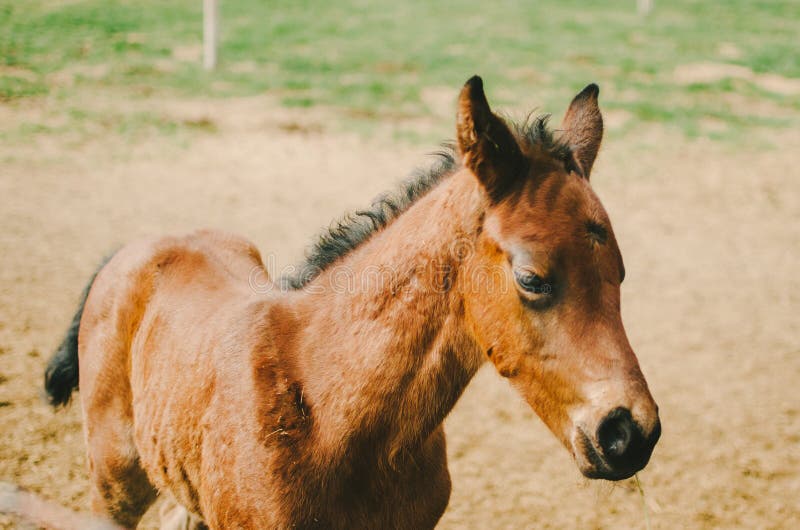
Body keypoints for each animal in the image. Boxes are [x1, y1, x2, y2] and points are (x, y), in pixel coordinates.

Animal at [44, 76, 660, 529]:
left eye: (620, 272)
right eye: (532, 278)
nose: (630, 434)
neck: (329, 414)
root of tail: (133, 249)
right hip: (115, 481)